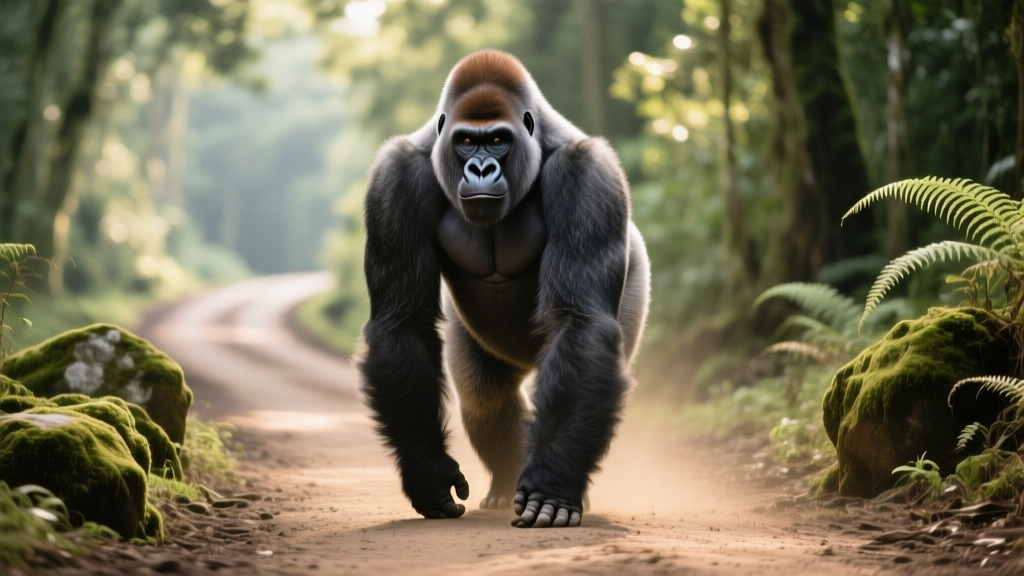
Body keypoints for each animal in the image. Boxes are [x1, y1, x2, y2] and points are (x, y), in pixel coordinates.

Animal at [358, 49, 649, 528]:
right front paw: (427, 470)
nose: (480, 168)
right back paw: (506, 481)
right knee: (485, 397)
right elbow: (402, 323)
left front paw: (552, 484)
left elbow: (581, 323)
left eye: (497, 140)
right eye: (466, 141)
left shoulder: (588, 174)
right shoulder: (395, 177)